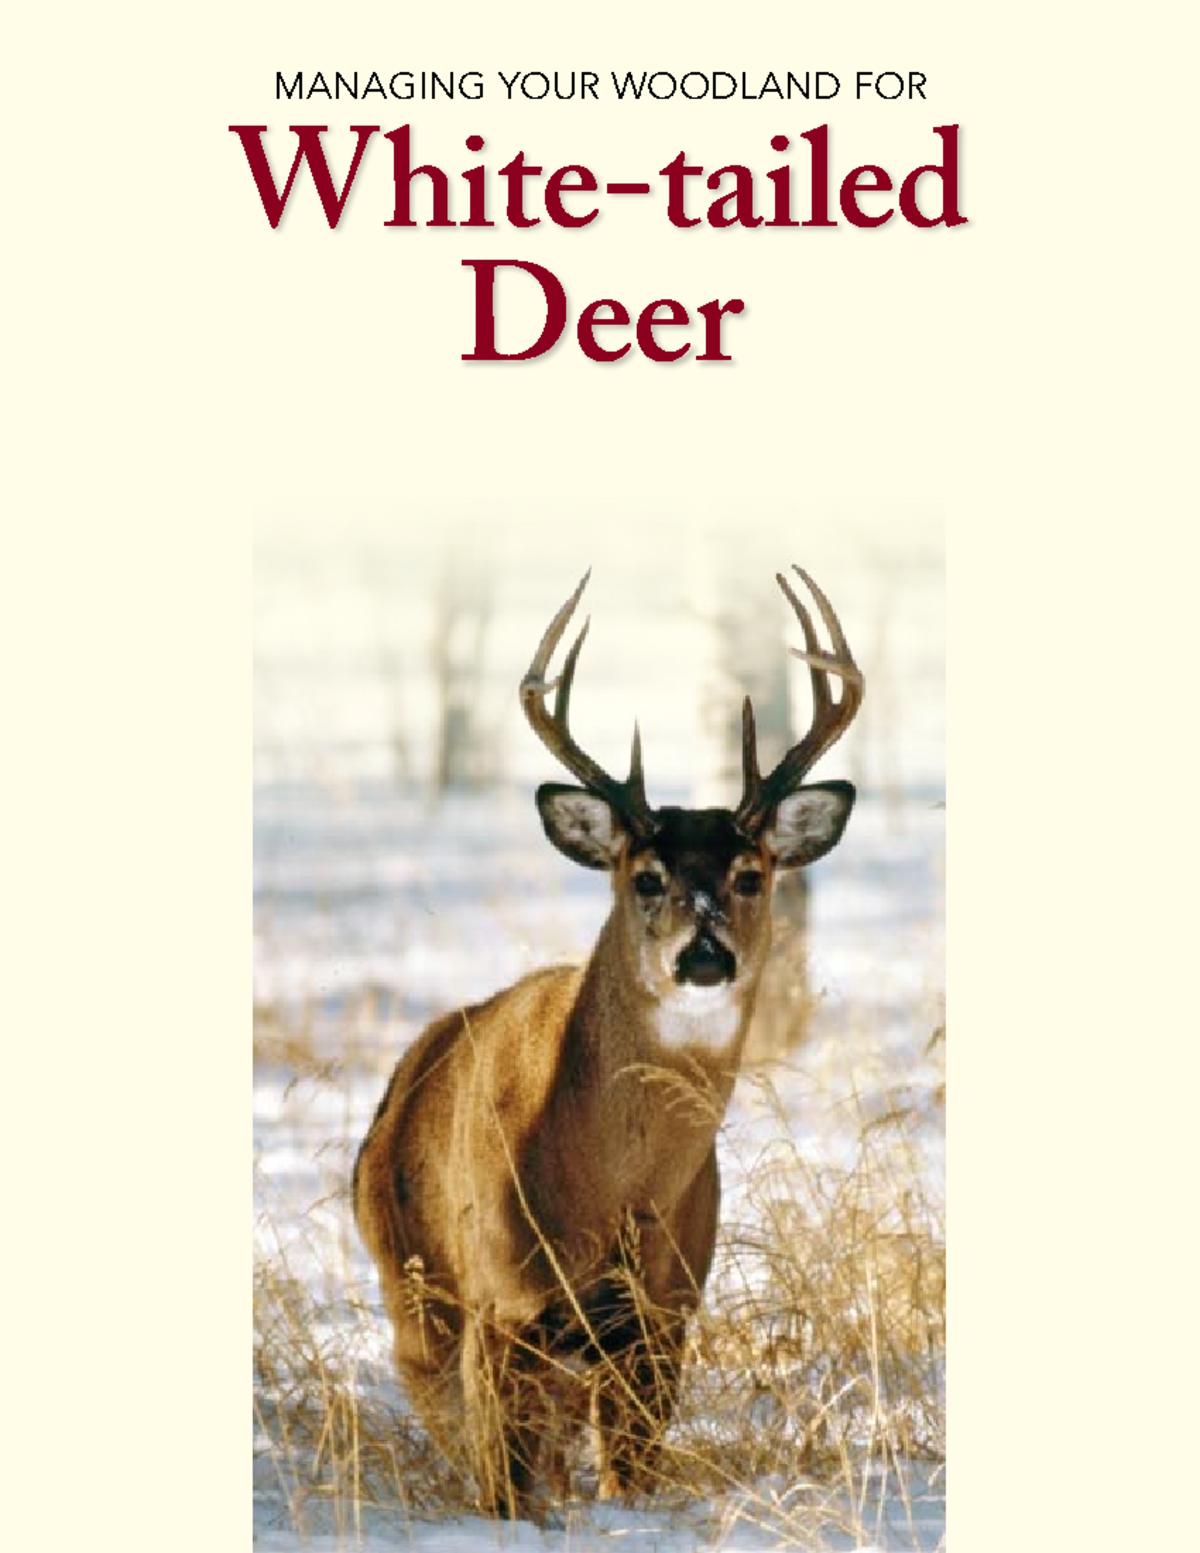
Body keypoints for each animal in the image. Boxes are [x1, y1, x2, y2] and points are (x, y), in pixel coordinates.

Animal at [352, 564, 864, 1517]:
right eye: (647, 875)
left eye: (750, 873)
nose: (704, 952)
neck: (606, 1190)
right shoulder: (502, 1304)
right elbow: (504, 1488)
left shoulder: (665, 1311)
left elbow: (630, 1475)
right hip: (415, 1299)